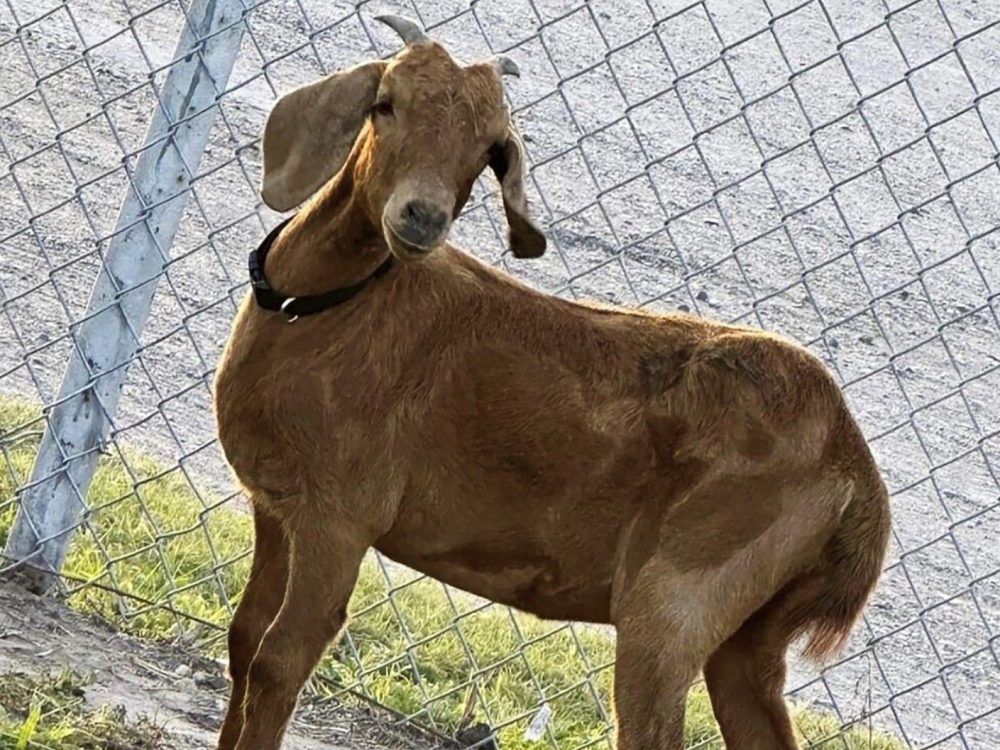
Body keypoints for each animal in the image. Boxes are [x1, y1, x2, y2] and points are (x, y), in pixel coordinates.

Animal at [213, 15, 891, 750]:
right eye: (385, 103)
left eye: (489, 150)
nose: (422, 217)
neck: (328, 307)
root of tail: (855, 471)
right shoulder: (275, 507)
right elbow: (245, 639)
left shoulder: (339, 520)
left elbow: (280, 661)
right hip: (749, 636)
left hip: (676, 598)